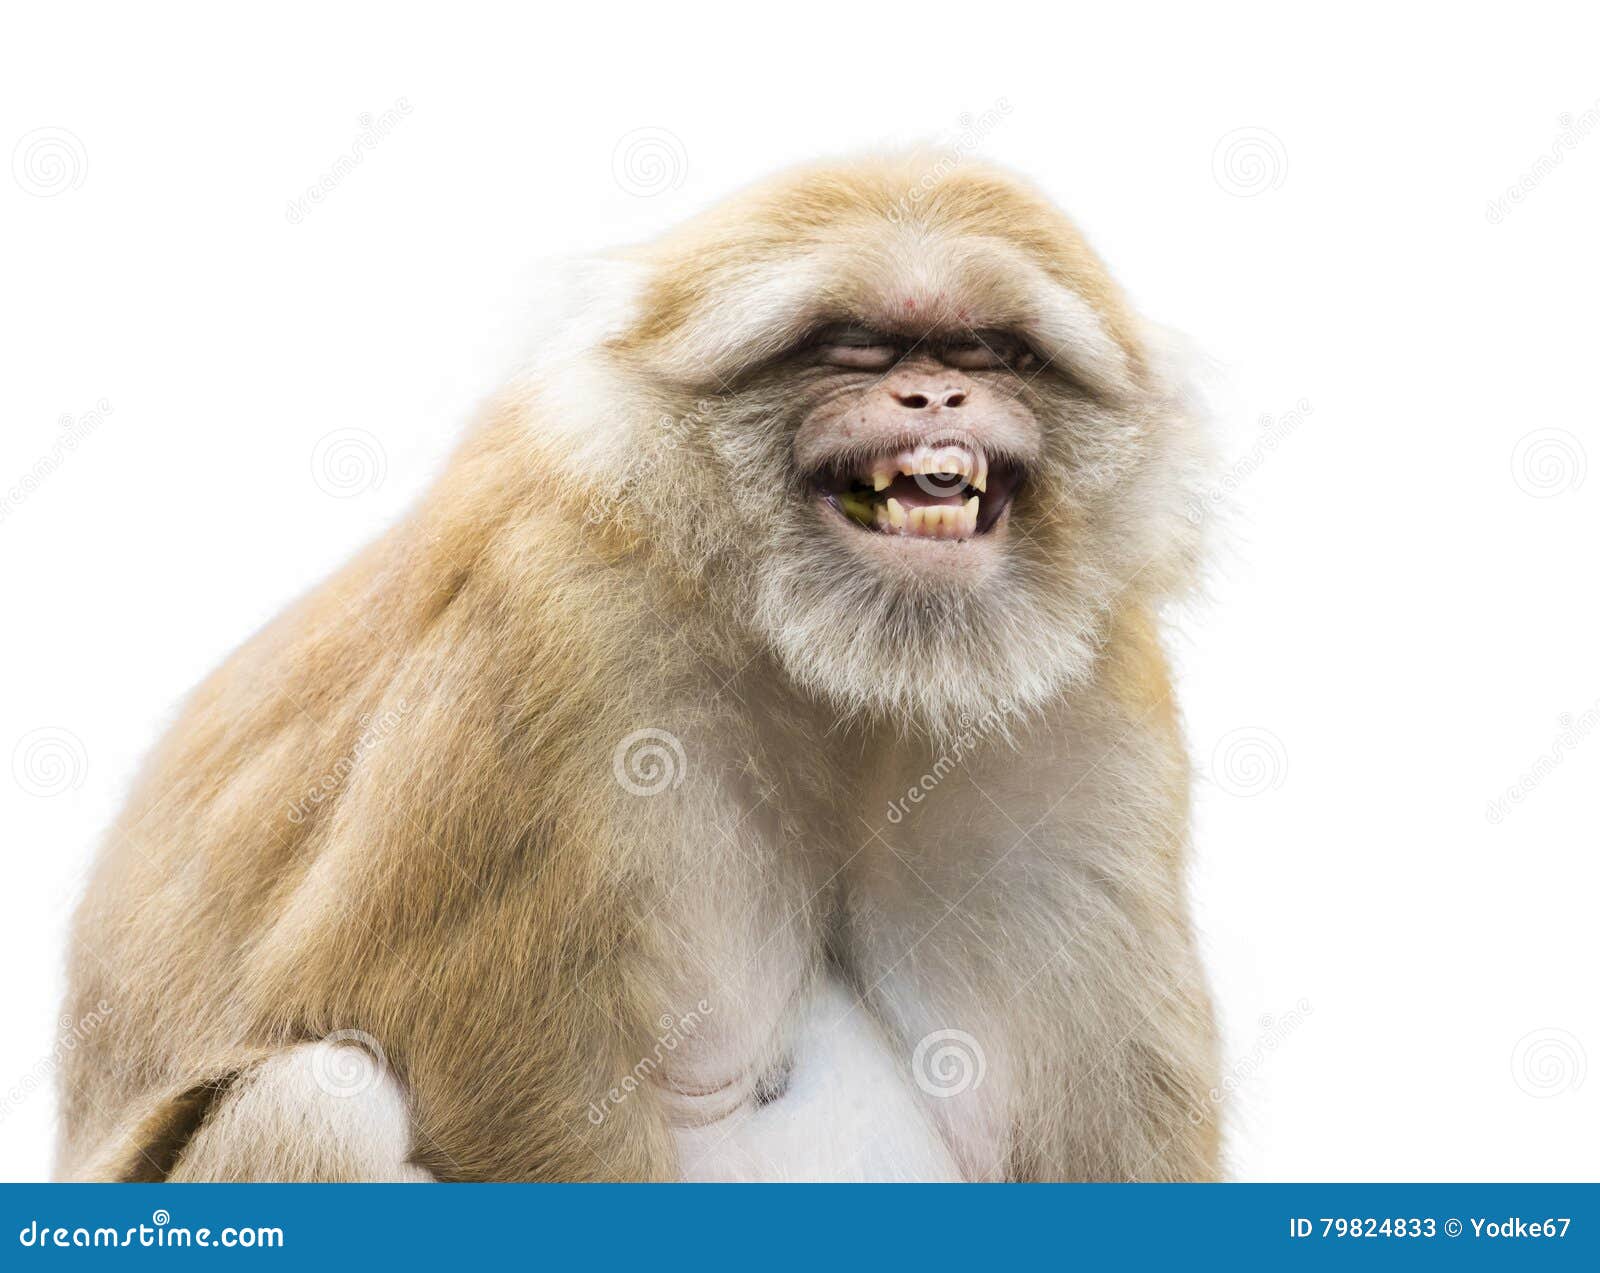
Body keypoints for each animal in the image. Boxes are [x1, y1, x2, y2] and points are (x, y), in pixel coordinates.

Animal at [57, 150, 1220, 1183]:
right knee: (317, 1103)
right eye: (851, 345)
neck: (821, 656)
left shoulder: (1086, 694)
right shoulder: (554, 626)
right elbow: (473, 1051)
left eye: (984, 349)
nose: (932, 400)